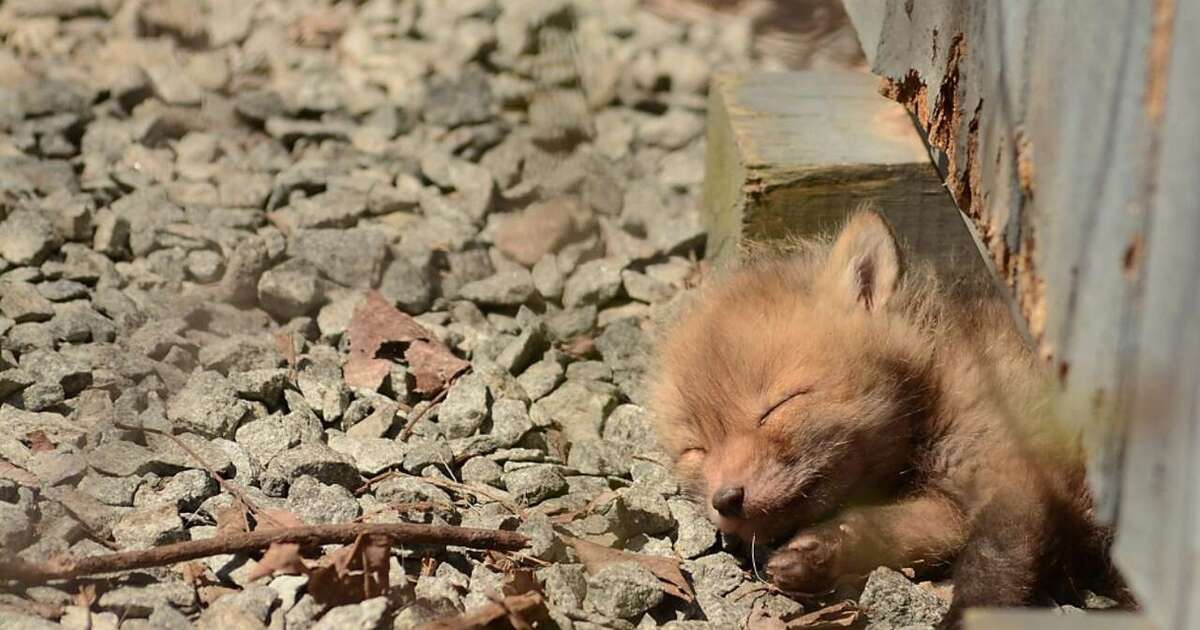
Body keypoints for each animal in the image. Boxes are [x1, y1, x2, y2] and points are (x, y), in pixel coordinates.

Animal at [648, 209, 1130, 627]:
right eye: (695, 450)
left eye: (778, 407)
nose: (726, 500)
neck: (937, 387)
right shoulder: (946, 509)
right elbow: (880, 527)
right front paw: (819, 553)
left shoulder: (1019, 472)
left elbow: (992, 561)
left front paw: (963, 619)